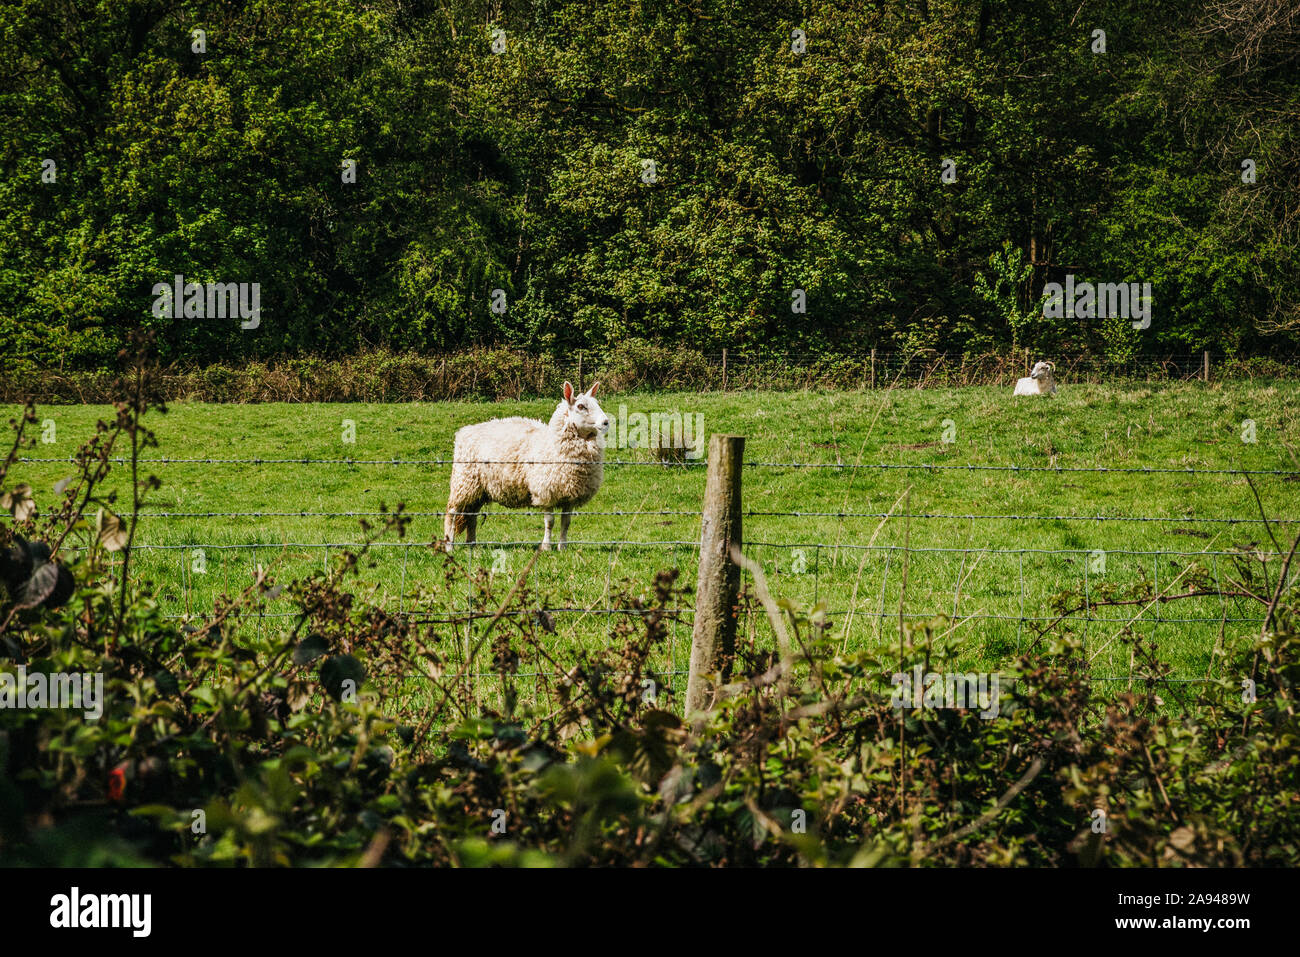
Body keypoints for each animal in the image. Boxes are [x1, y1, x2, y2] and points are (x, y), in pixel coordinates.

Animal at [444, 381, 610, 552]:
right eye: (581, 406)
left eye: (597, 403)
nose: (606, 422)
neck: (552, 445)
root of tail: (464, 431)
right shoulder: (546, 492)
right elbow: (550, 522)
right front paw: (546, 547)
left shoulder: (570, 494)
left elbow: (566, 523)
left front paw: (562, 547)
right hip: (463, 482)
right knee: (452, 513)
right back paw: (450, 546)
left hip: (478, 489)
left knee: (472, 517)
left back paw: (472, 545)